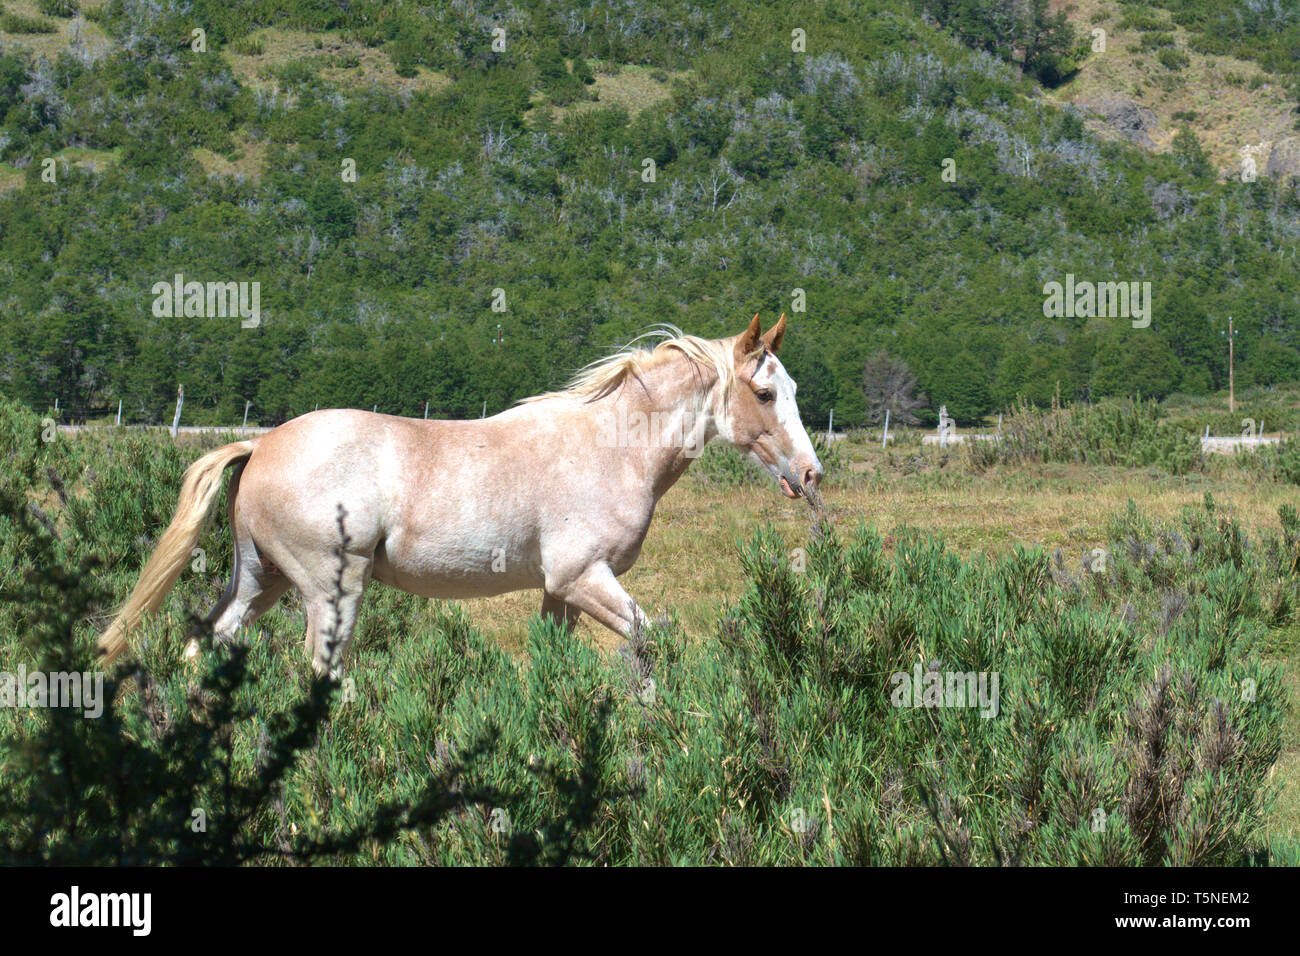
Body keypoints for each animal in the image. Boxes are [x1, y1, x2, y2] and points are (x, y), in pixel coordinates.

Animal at [97, 313, 824, 674]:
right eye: (765, 393)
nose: (811, 476)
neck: (608, 446)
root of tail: (261, 444)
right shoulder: (586, 577)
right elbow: (651, 642)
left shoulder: (560, 591)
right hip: (330, 592)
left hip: (260, 580)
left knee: (206, 642)